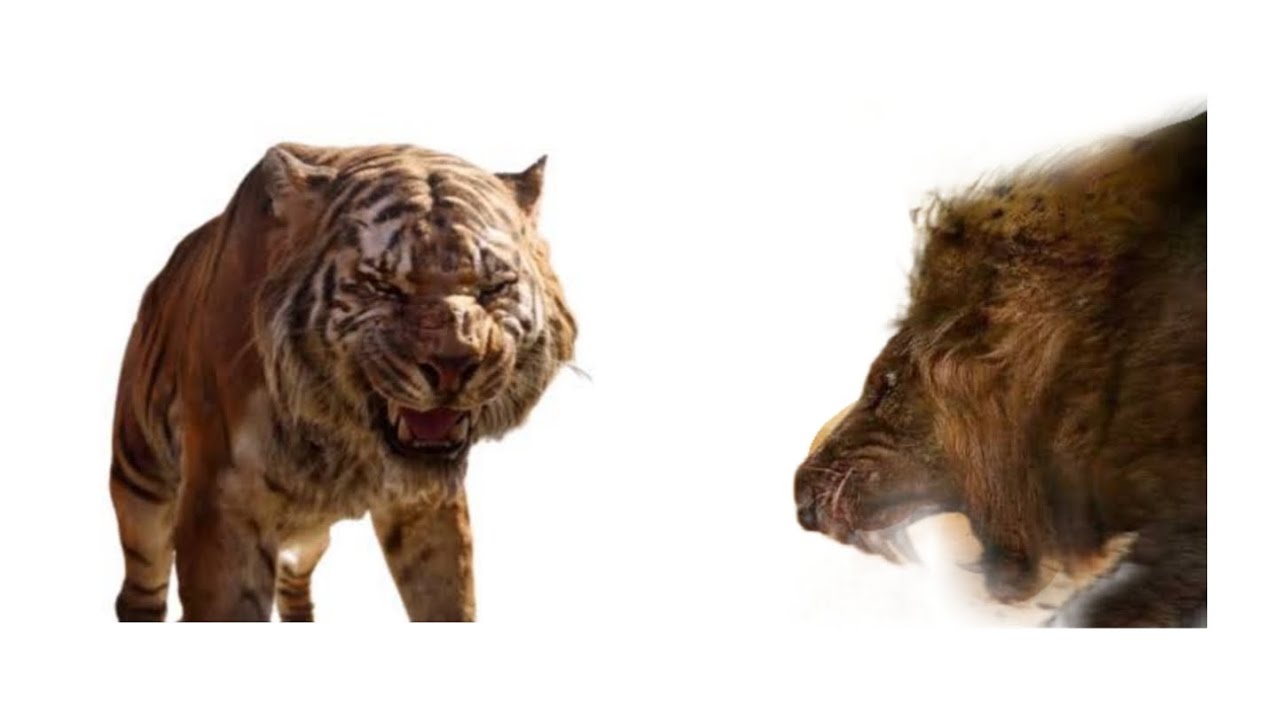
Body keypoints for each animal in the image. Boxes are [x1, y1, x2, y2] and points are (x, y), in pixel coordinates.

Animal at [109, 143, 576, 621]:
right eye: (383, 287)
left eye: (494, 288)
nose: (453, 364)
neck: (343, 436)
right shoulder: (222, 505)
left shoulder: (427, 508)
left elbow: (448, 596)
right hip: (141, 486)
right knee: (142, 584)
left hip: (307, 541)